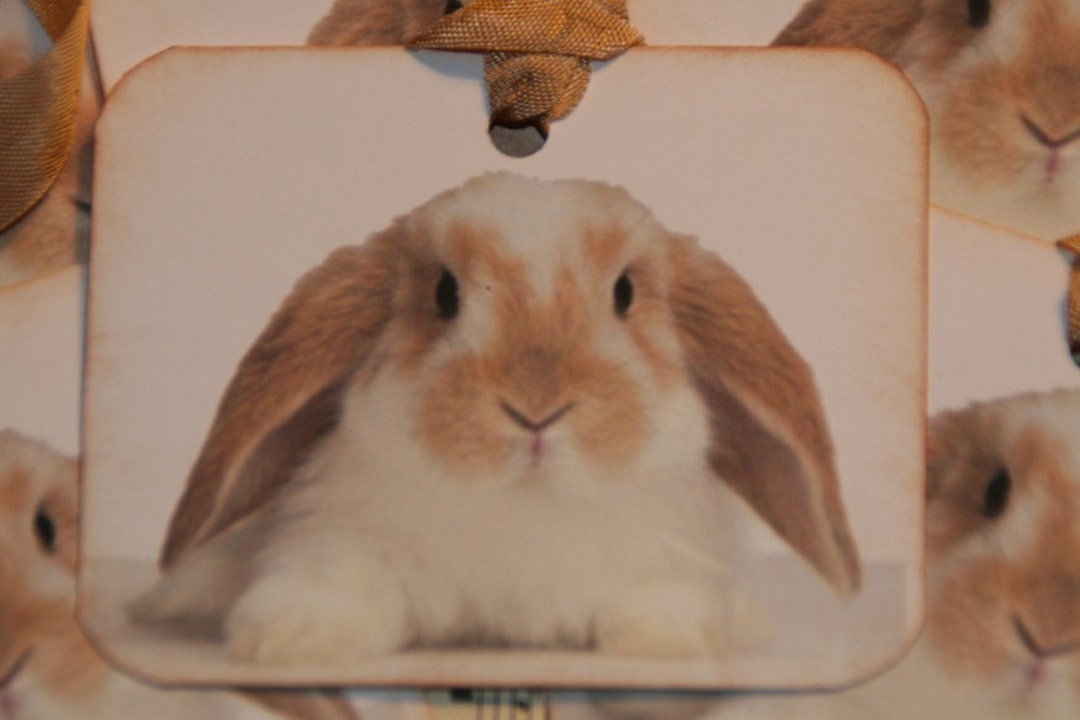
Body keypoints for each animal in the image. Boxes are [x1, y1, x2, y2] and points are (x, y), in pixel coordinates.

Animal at [130, 172, 861, 667]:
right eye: (444, 293)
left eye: (625, 293)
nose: (535, 409)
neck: (522, 508)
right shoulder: (334, 535)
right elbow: (327, 585)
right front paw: (292, 638)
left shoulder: (669, 551)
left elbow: (659, 600)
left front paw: (667, 639)